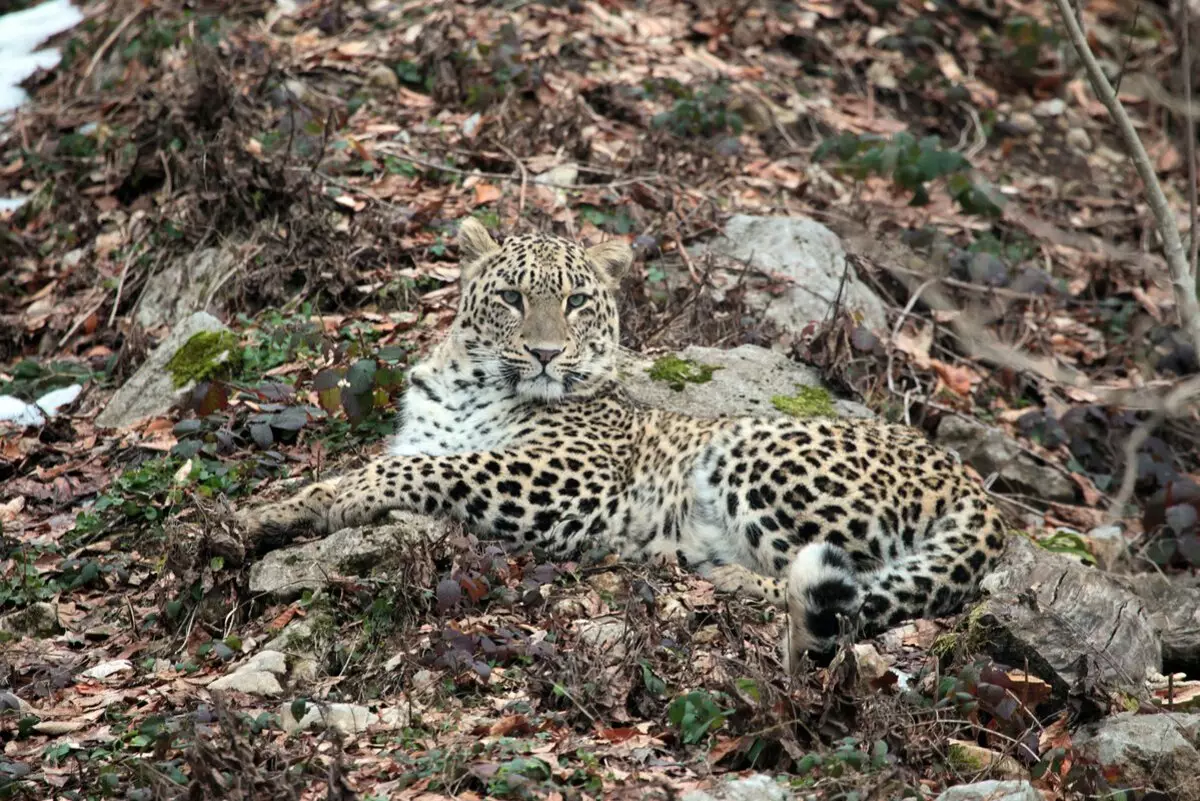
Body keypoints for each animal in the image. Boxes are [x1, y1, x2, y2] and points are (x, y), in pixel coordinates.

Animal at [238, 219, 1008, 661]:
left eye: (576, 301)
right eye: (512, 297)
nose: (546, 353)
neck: (468, 382)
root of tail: (975, 485)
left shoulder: (571, 477)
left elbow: (437, 468)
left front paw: (336, 501)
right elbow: (371, 469)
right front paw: (268, 512)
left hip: (753, 453)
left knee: (840, 586)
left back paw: (726, 578)